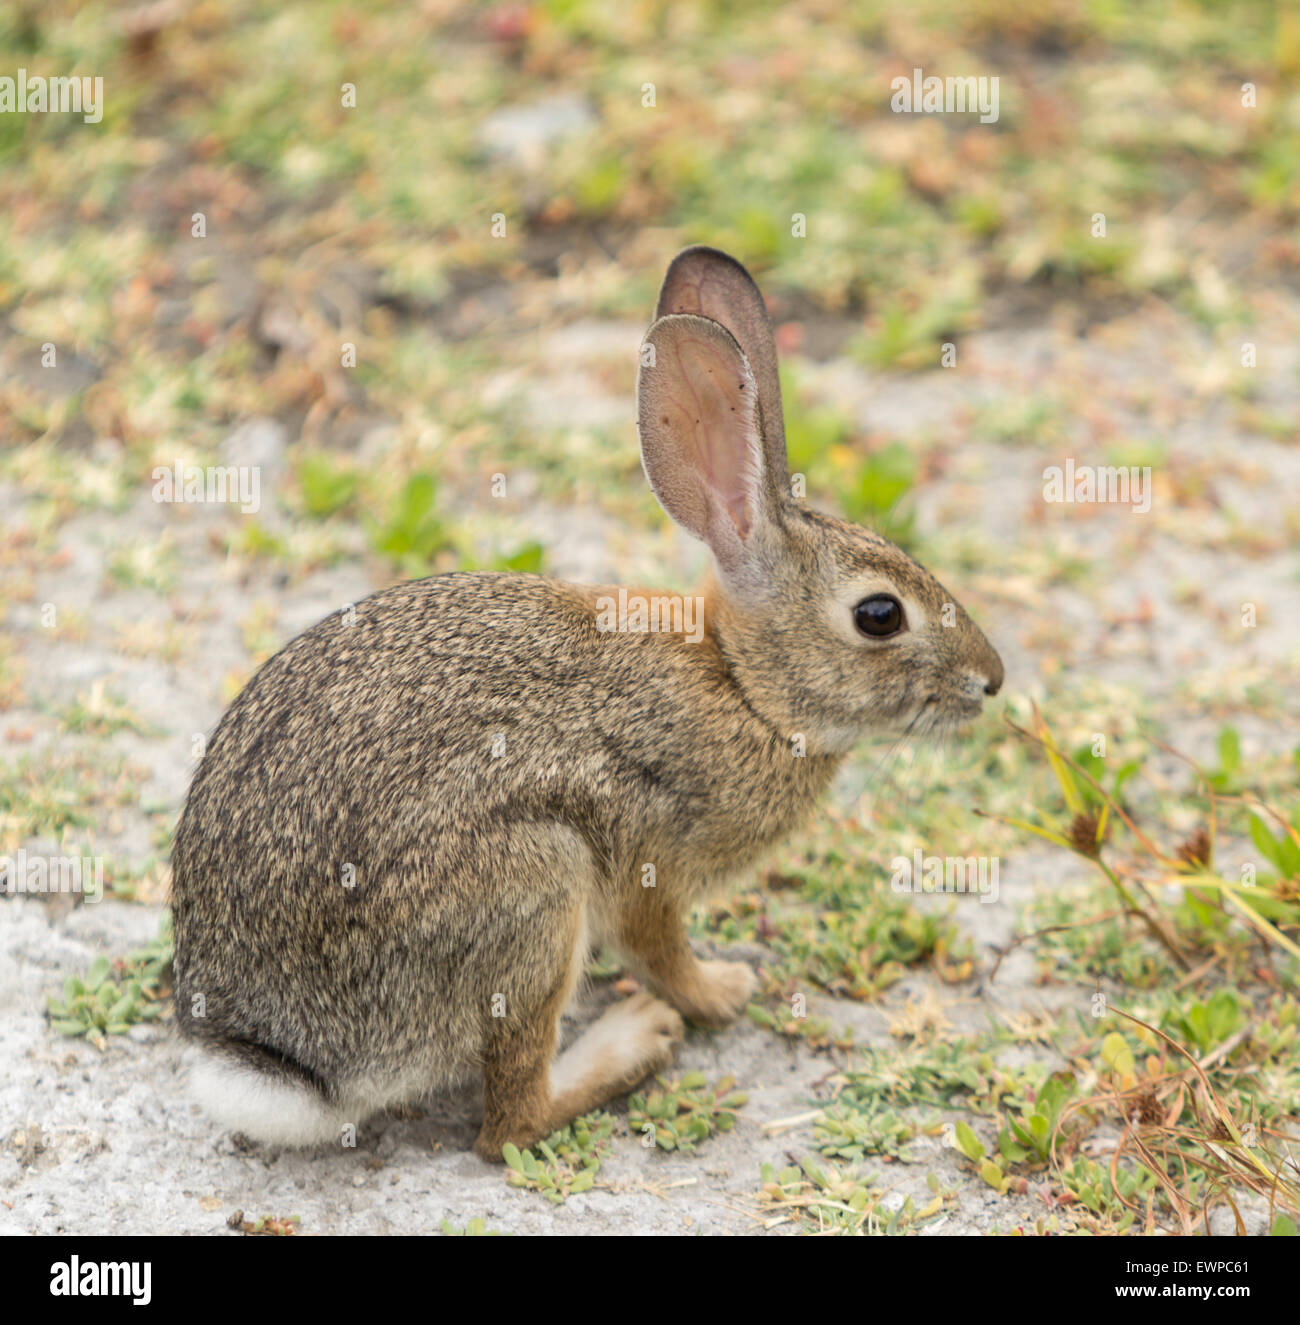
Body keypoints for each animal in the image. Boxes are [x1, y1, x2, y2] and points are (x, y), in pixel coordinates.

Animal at [171, 245, 1004, 1161]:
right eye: (880, 615)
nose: (991, 679)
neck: (744, 686)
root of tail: (289, 1061)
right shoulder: (649, 859)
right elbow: (661, 951)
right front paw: (721, 991)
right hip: (536, 889)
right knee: (510, 1123)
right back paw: (630, 1042)